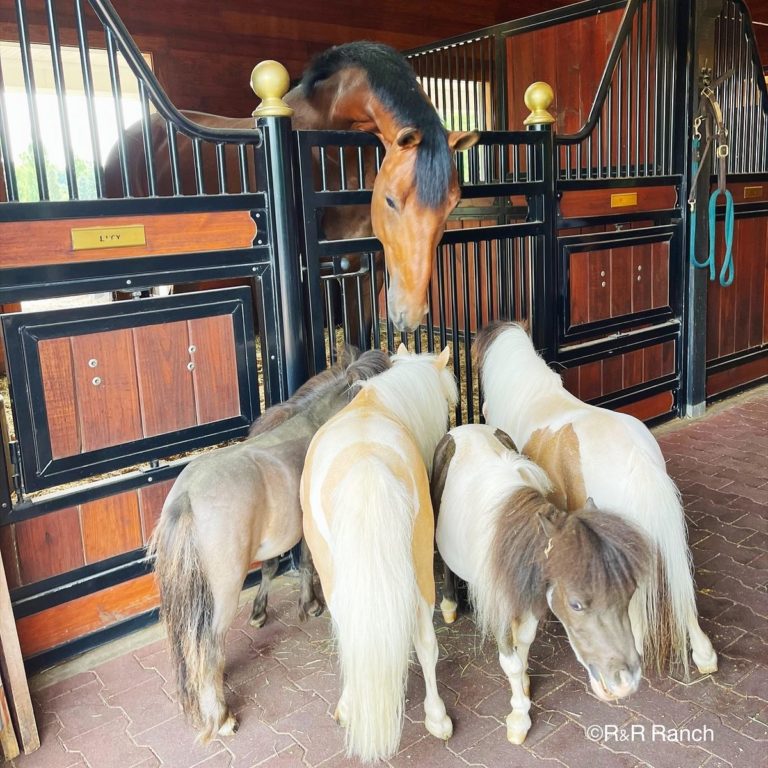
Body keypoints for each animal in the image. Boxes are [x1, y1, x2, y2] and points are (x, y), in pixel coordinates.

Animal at [148, 346, 391, 742]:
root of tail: (186, 500)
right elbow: (303, 563)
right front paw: (310, 605)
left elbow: (270, 566)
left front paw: (262, 612)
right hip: (223, 590)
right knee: (209, 645)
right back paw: (222, 717)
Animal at [431, 423, 651, 745]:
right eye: (576, 604)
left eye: (629, 592)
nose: (625, 683)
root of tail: (463, 427)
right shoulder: (499, 608)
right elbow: (509, 660)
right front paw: (519, 718)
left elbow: (524, 644)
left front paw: (524, 682)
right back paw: (449, 604)